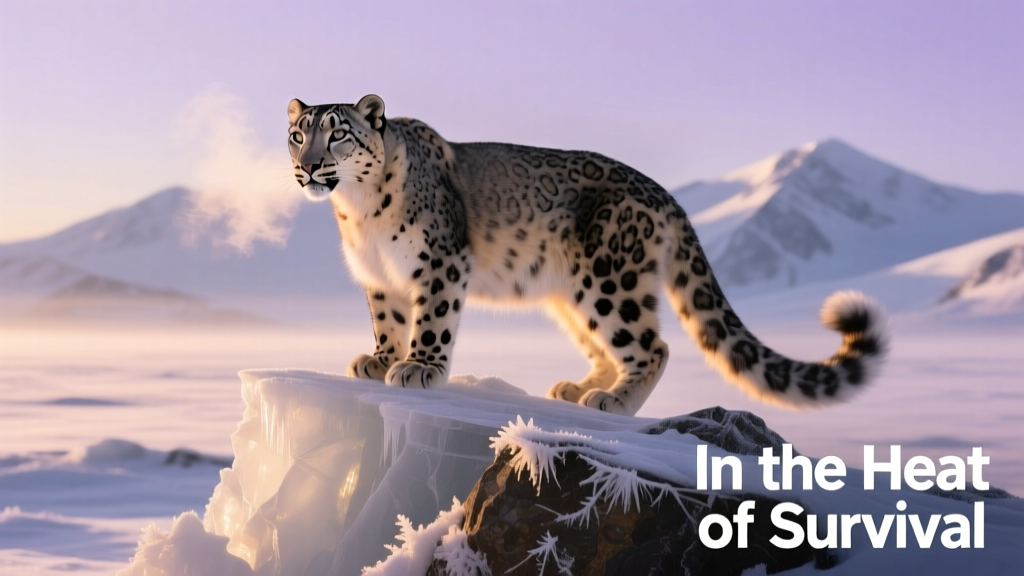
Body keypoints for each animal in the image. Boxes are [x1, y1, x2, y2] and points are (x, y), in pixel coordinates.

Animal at [286, 94, 889, 416]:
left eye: (339, 134)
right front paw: (380, 359)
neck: (360, 211)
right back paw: (578, 387)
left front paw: (419, 369)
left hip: (609, 280)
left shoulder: (440, 262)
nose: (309, 166)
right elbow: (387, 320)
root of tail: (664, 194)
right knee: (606, 345)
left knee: (653, 345)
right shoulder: (380, 277)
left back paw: (614, 402)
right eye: (298, 133)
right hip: (570, 294)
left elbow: (431, 320)